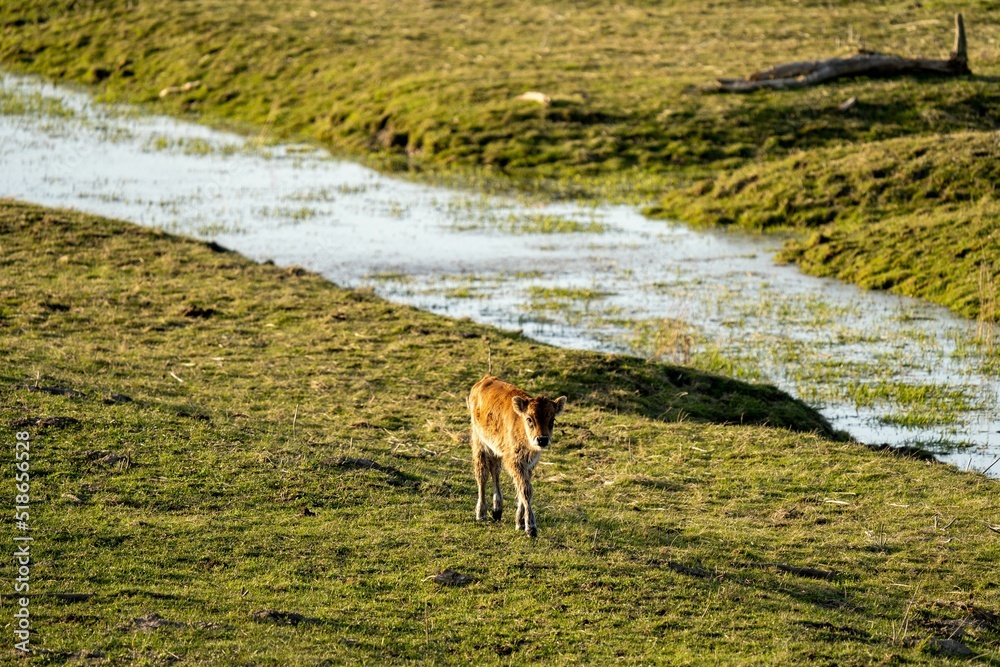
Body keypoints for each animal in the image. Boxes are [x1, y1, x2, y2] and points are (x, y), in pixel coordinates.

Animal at [467, 375, 566, 537]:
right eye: (529, 419)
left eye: (552, 420)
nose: (542, 439)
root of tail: (485, 379)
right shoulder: (515, 462)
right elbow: (525, 490)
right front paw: (531, 528)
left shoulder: (529, 464)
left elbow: (523, 489)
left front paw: (520, 522)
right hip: (479, 443)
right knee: (482, 475)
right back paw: (481, 513)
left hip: (495, 449)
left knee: (495, 471)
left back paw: (497, 511)